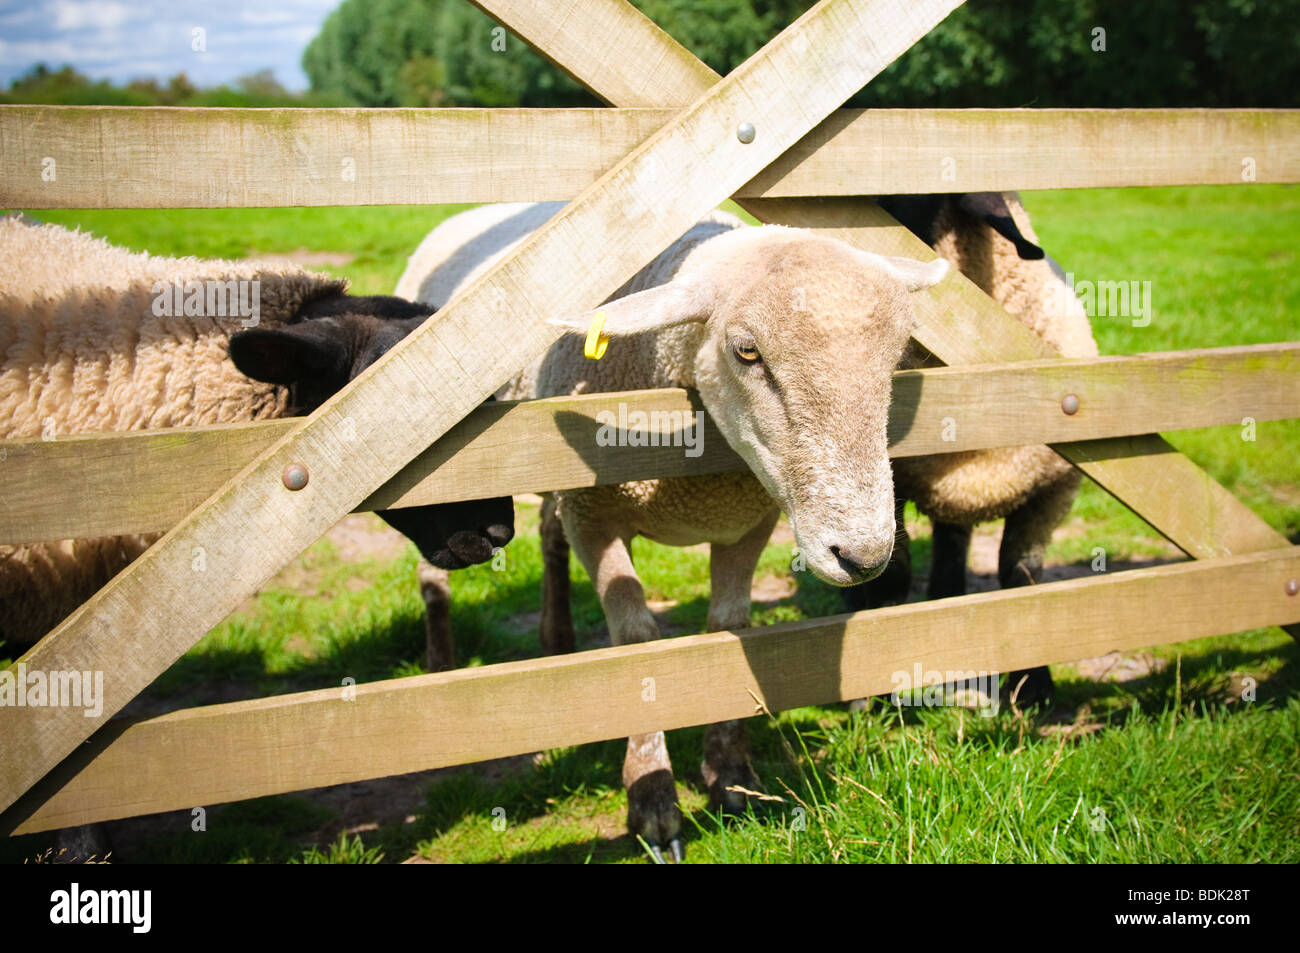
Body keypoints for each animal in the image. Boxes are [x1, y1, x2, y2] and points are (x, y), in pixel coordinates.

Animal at [397, 201, 949, 860]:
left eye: (895, 357)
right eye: (746, 350)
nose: (863, 555)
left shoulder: (748, 521)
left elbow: (728, 627)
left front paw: (731, 778)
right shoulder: (596, 516)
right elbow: (637, 640)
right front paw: (653, 801)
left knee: (549, 536)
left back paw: (557, 640)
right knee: (437, 564)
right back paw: (440, 661)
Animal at [842, 192, 1099, 705]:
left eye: (892, 203)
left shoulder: (1052, 491)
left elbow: (1021, 577)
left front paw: (1035, 688)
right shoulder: (888, 493)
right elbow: (893, 577)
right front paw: (875, 690)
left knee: (951, 543)